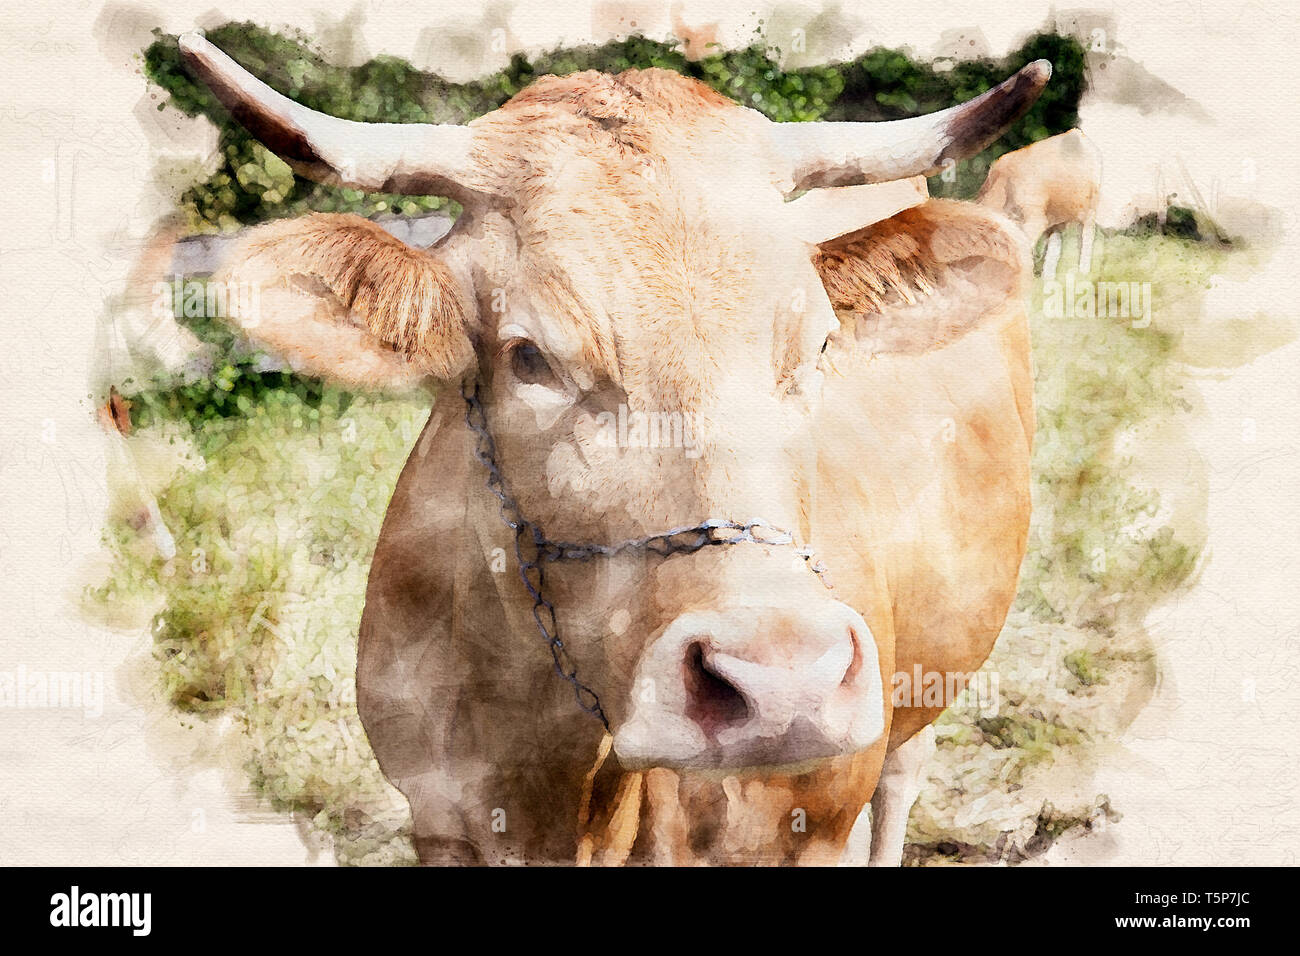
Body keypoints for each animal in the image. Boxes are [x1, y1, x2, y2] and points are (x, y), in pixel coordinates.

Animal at [977, 128, 1102, 280]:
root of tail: (1077, 133)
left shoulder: (1036, 220)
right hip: (1055, 218)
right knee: (1054, 246)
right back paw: (1047, 279)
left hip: (1089, 209)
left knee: (1086, 238)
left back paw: (1083, 273)